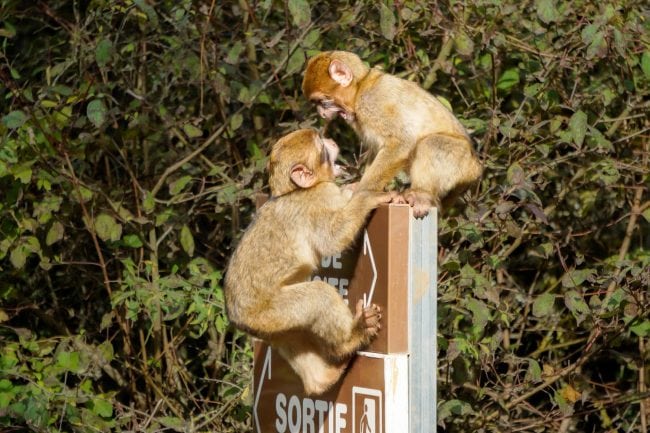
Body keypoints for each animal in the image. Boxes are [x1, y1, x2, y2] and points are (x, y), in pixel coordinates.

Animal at [224, 128, 392, 395]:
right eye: (321, 147)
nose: (331, 140)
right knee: (317, 295)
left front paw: (354, 189)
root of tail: (235, 316)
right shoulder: (320, 197)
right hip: (270, 310)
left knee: (290, 335)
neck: (294, 191)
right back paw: (351, 338)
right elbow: (332, 238)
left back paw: (322, 380)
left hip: (268, 325)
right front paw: (366, 197)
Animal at [302, 50, 483, 217]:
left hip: (462, 162)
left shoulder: (371, 101)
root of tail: (476, 168)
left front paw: (362, 193)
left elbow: (401, 142)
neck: (362, 86)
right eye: (316, 104)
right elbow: (376, 149)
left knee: (433, 143)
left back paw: (422, 194)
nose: (321, 114)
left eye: (322, 102)